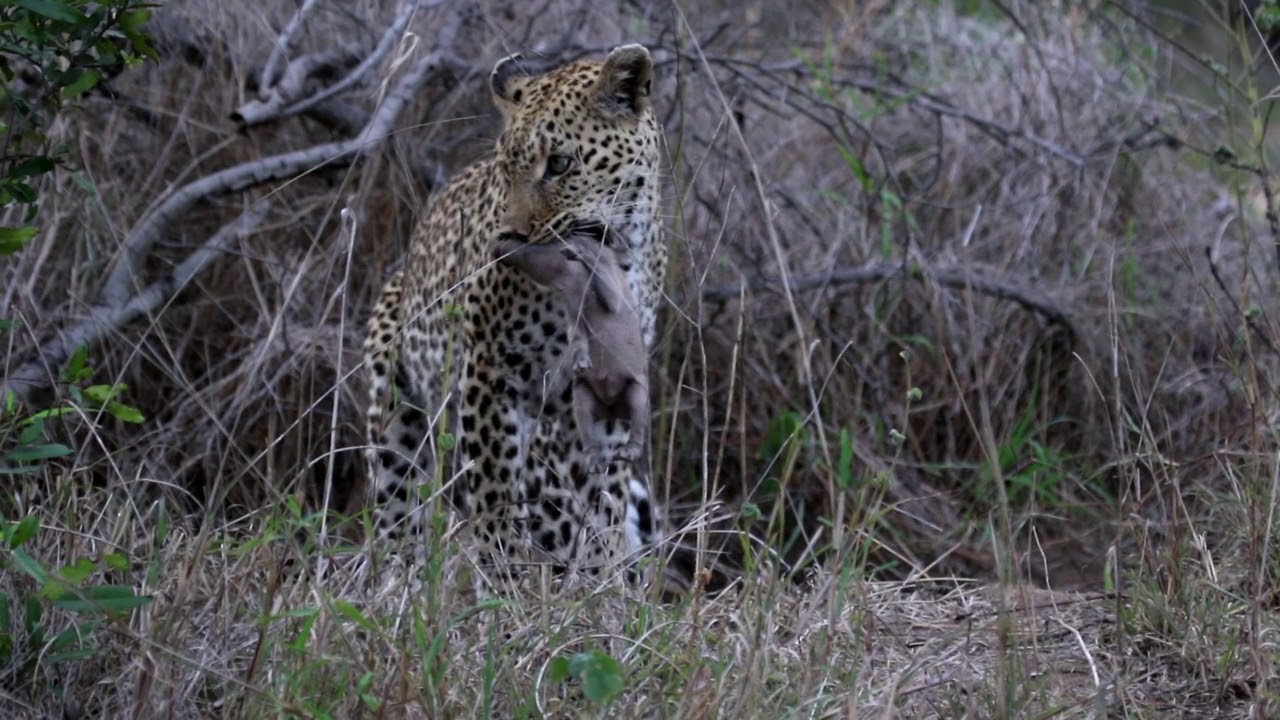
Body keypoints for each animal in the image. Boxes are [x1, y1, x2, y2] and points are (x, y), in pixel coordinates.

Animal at [363, 44, 666, 584]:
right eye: (506, 169)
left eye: (560, 164)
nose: (511, 237)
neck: (618, 254)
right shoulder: (490, 371)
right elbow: (496, 491)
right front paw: (504, 579)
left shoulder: (598, 394)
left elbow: (603, 501)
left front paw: (601, 582)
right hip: (395, 414)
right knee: (397, 508)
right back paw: (394, 582)